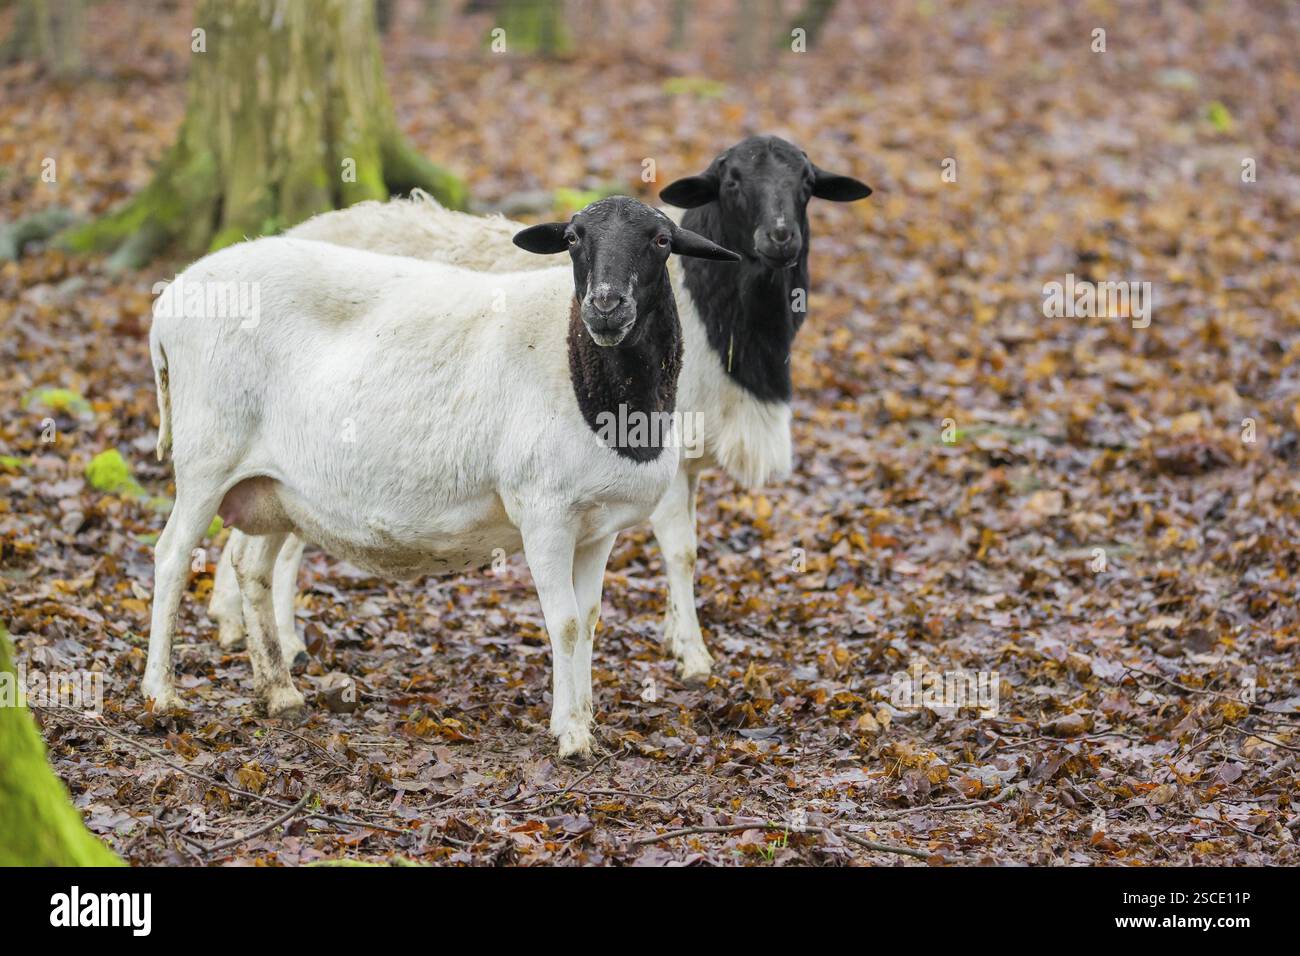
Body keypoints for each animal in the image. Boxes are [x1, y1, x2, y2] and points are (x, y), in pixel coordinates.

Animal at [146, 196, 739, 759]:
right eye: (573, 238)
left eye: (661, 240)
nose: (605, 306)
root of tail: (169, 301)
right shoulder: (545, 514)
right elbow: (566, 622)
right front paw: (572, 735)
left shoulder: (598, 527)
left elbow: (589, 619)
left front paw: (584, 718)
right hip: (207, 456)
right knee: (173, 556)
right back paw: (161, 693)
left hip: (275, 488)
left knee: (251, 568)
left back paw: (279, 691)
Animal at [209, 135, 871, 684]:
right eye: (732, 181)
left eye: (807, 183)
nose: (780, 238)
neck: (713, 307)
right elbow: (681, 552)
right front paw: (692, 654)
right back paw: (279, 639)